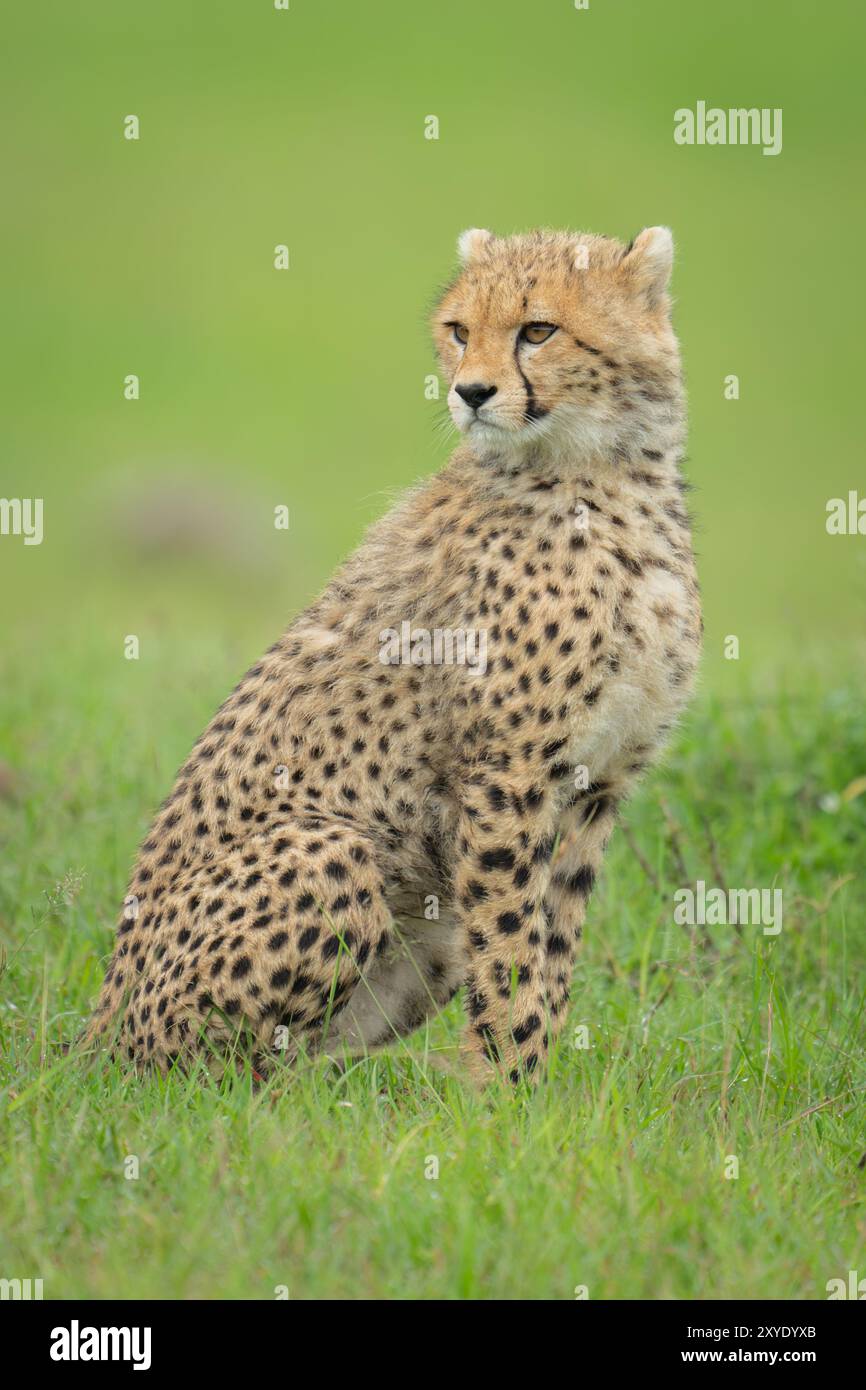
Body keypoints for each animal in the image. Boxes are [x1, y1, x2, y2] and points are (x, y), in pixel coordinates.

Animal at [84, 224, 701, 1085]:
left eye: (538, 330)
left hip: (429, 939)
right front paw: (503, 1091)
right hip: (331, 850)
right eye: (460, 331)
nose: (470, 393)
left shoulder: (597, 781)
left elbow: (553, 943)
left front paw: (537, 1091)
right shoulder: (506, 775)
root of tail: (96, 1024)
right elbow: (510, 947)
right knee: (221, 1078)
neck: (602, 471)